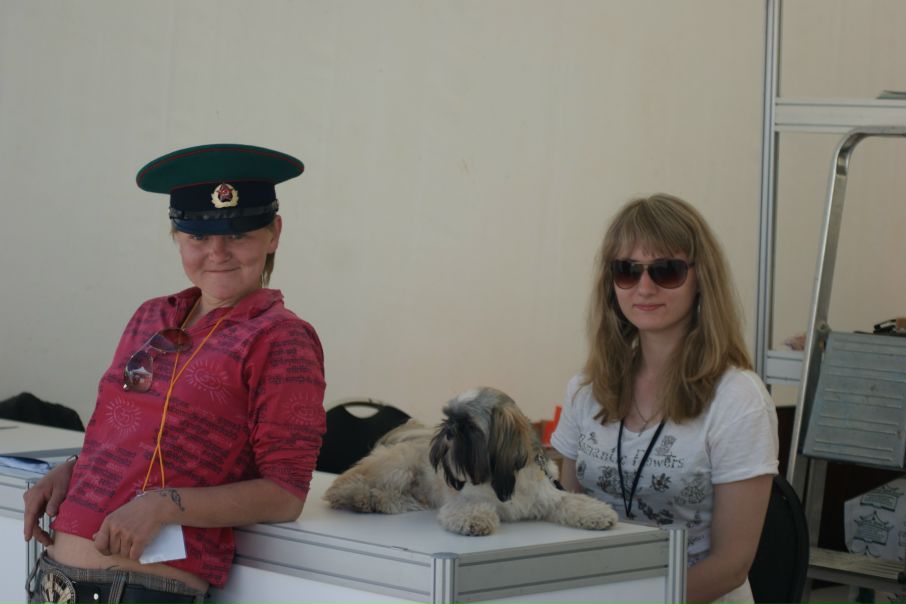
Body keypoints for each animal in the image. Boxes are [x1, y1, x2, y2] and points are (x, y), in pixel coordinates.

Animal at [323, 387, 619, 536]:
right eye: (448, 418)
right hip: (399, 466)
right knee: (341, 486)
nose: (448, 429)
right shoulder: (463, 501)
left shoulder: (548, 496)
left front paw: (597, 513)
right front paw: (476, 520)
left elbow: (572, 502)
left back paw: (383, 501)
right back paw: (362, 497)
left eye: (469, 426)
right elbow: (470, 509)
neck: (502, 479)